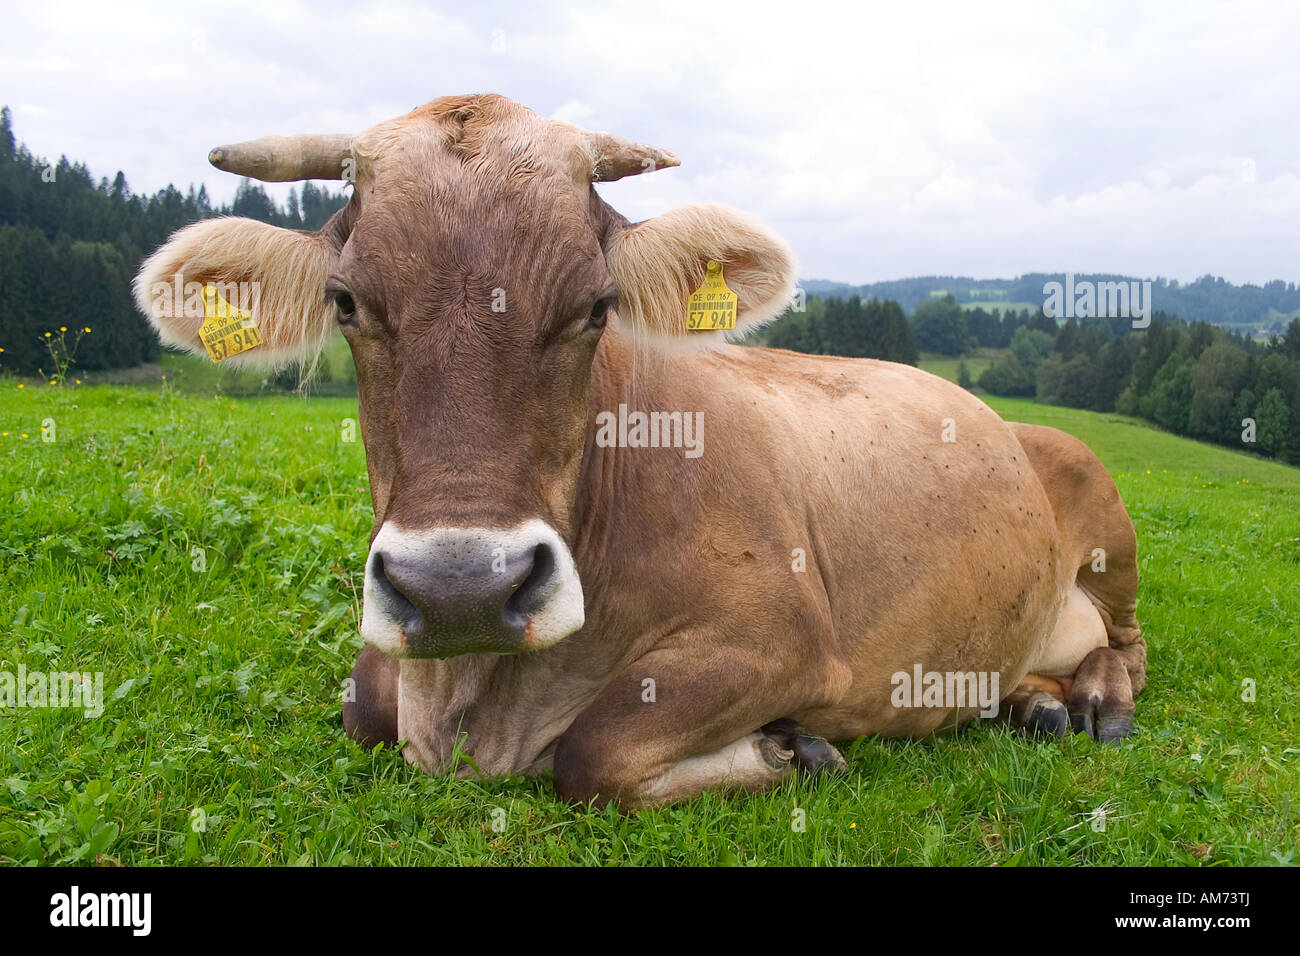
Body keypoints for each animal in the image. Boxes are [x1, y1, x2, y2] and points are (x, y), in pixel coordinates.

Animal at [135, 94, 1147, 809]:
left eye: (594, 306)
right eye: (346, 301)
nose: (462, 591)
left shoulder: (783, 639)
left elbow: (597, 748)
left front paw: (789, 748)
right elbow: (364, 707)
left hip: (1102, 507)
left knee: (1125, 645)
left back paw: (1090, 702)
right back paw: (1034, 699)